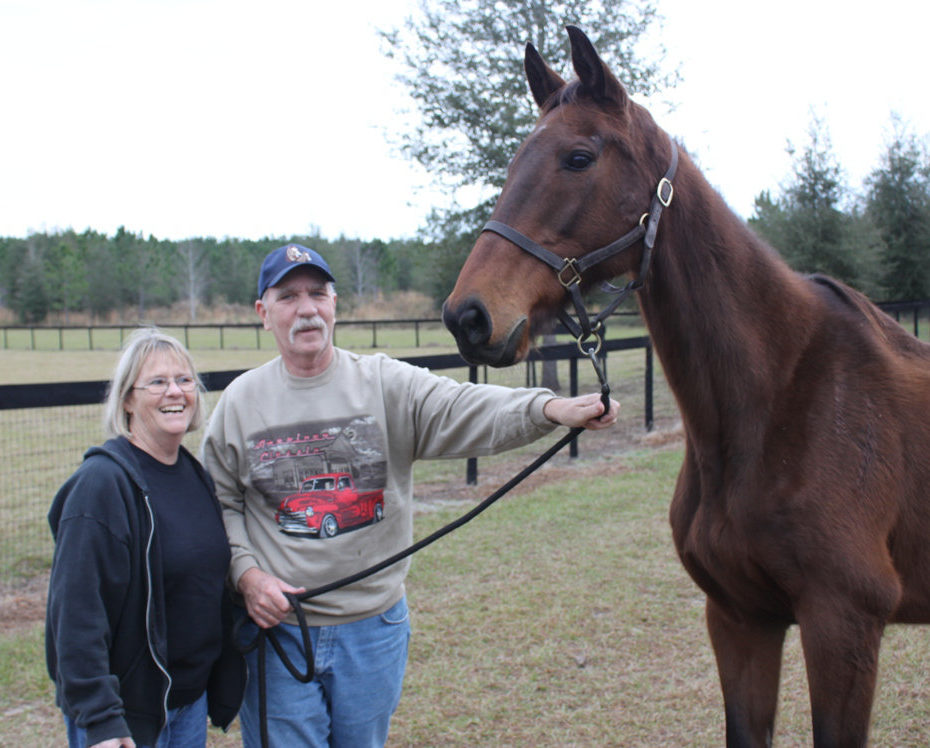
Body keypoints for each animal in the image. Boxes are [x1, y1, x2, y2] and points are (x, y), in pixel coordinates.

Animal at [442, 26, 930, 748]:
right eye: (511, 165)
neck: (781, 402)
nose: (468, 317)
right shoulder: (738, 619)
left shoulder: (844, 627)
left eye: (579, 157)